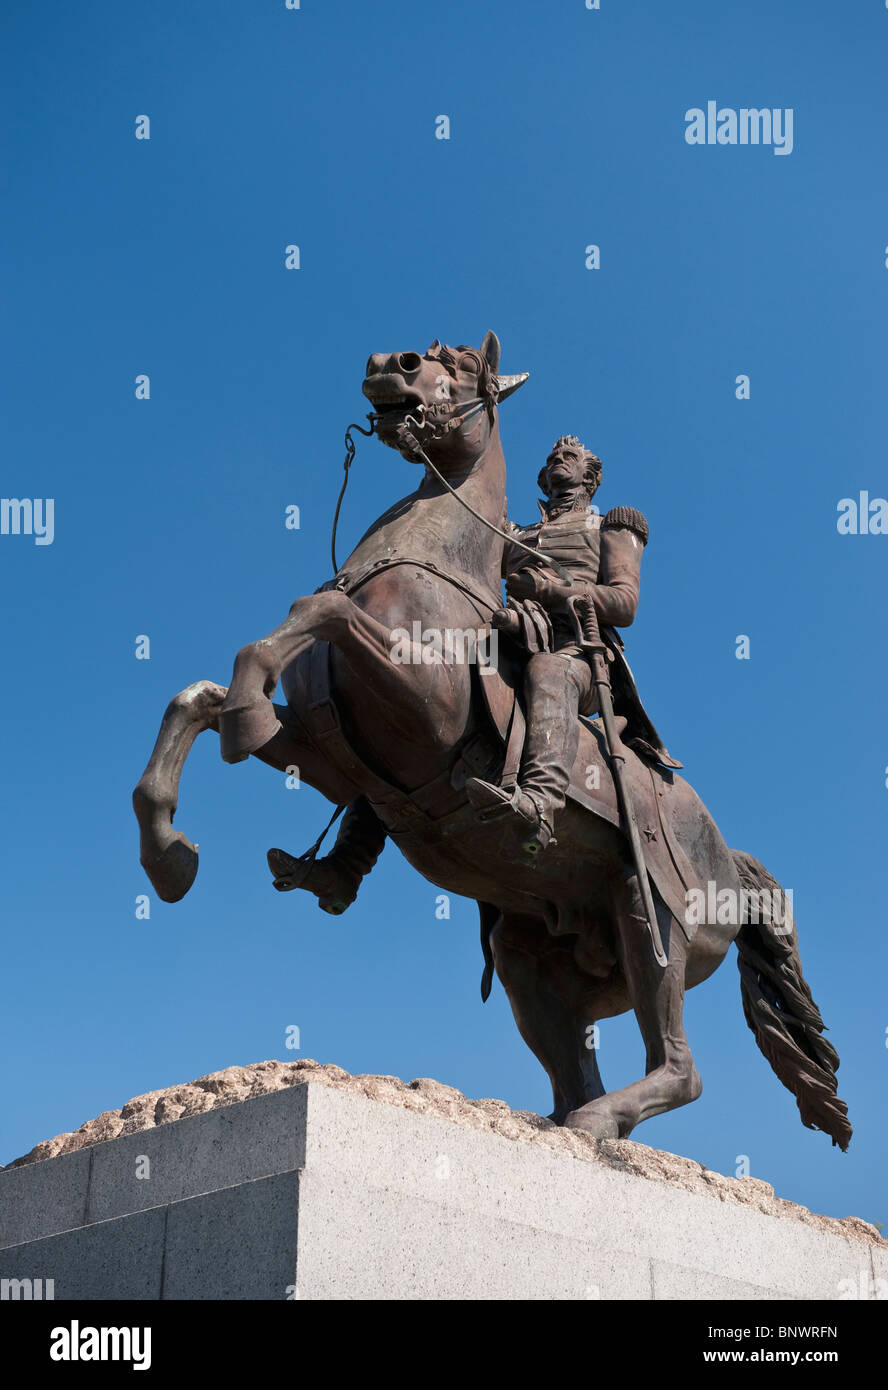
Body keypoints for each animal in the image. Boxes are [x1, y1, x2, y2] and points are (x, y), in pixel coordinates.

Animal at [133, 328, 856, 1150]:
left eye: (464, 365)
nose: (390, 365)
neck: (428, 563)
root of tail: (730, 859)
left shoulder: (422, 707)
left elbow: (314, 615)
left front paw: (246, 714)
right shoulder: (339, 763)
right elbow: (198, 699)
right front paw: (169, 855)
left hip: (654, 923)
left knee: (678, 1067)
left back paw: (597, 1118)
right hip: (533, 960)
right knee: (577, 1075)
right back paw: (557, 1125)